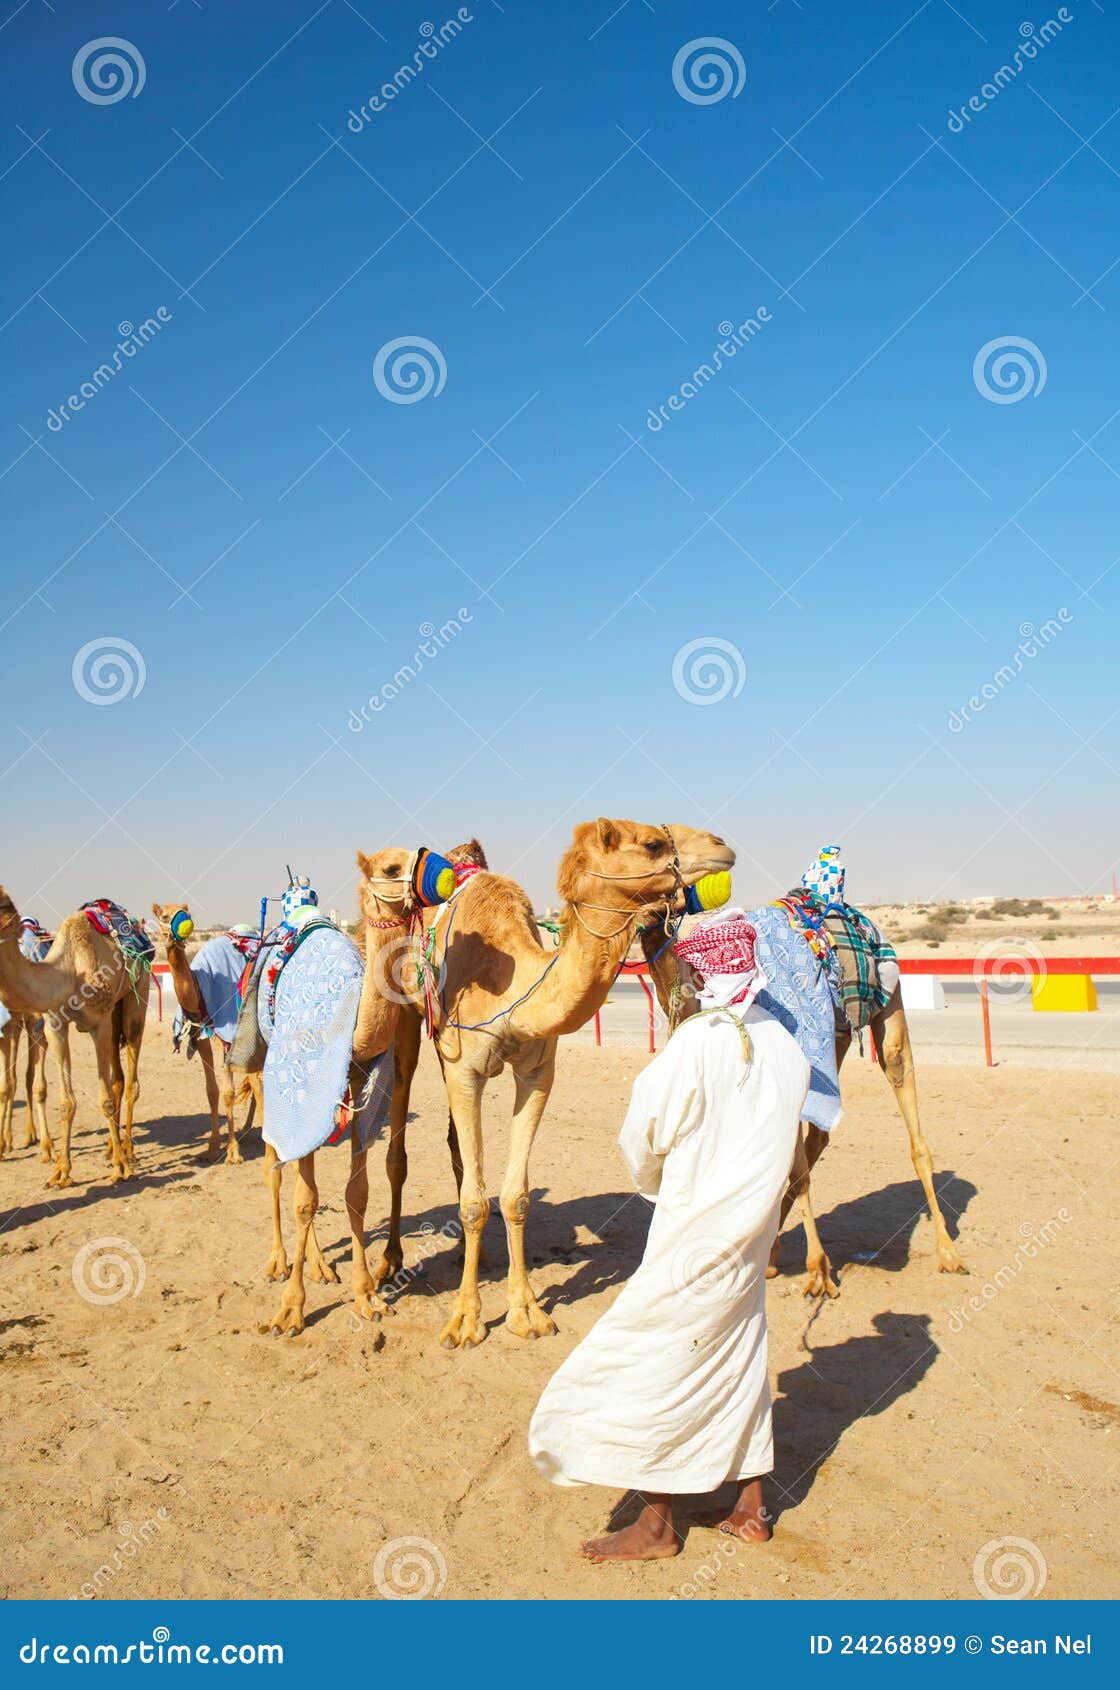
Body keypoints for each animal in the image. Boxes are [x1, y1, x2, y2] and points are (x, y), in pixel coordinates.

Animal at [0, 888, 146, 1185]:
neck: (68, 973)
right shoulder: (53, 1026)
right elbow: (66, 1102)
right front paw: (61, 1172)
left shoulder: (99, 1024)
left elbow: (105, 1098)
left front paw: (121, 1168)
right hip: (113, 1016)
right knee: (118, 1079)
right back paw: (110, 1147)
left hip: (135, 1001)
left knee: (130, 1083)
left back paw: (127, 1150)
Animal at [150, 903, 262, 1166]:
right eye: (164, 915)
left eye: (186, 913)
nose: (183, 928)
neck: (199, 987)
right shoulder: (199, 1034)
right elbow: (212, 1091)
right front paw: (212, 1148)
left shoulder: (229, 1038)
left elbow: (229, 1092)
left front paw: (232, 1153)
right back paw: (248, 1129)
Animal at [357, 819, 734, 1349]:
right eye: (653, 844)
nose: (722, 846)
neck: (514, 988)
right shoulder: (466, 1069)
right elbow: (473, 1202)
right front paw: (466, 1321)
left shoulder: (537, 1073)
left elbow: (514, 1196)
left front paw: (526, 1312)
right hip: (409, 1019)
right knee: (399, 1145)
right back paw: (391, 1260)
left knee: (456, 1148)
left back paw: (469, 1256)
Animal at [638, 904, 968, 1297]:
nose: (646, 918)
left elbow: (793, 1170)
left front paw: (818, 1271)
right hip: (837, 1039)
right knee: (818, 1139)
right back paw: (771, 1250)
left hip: (890, 1001)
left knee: (901, 1087)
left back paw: (949, 1252)